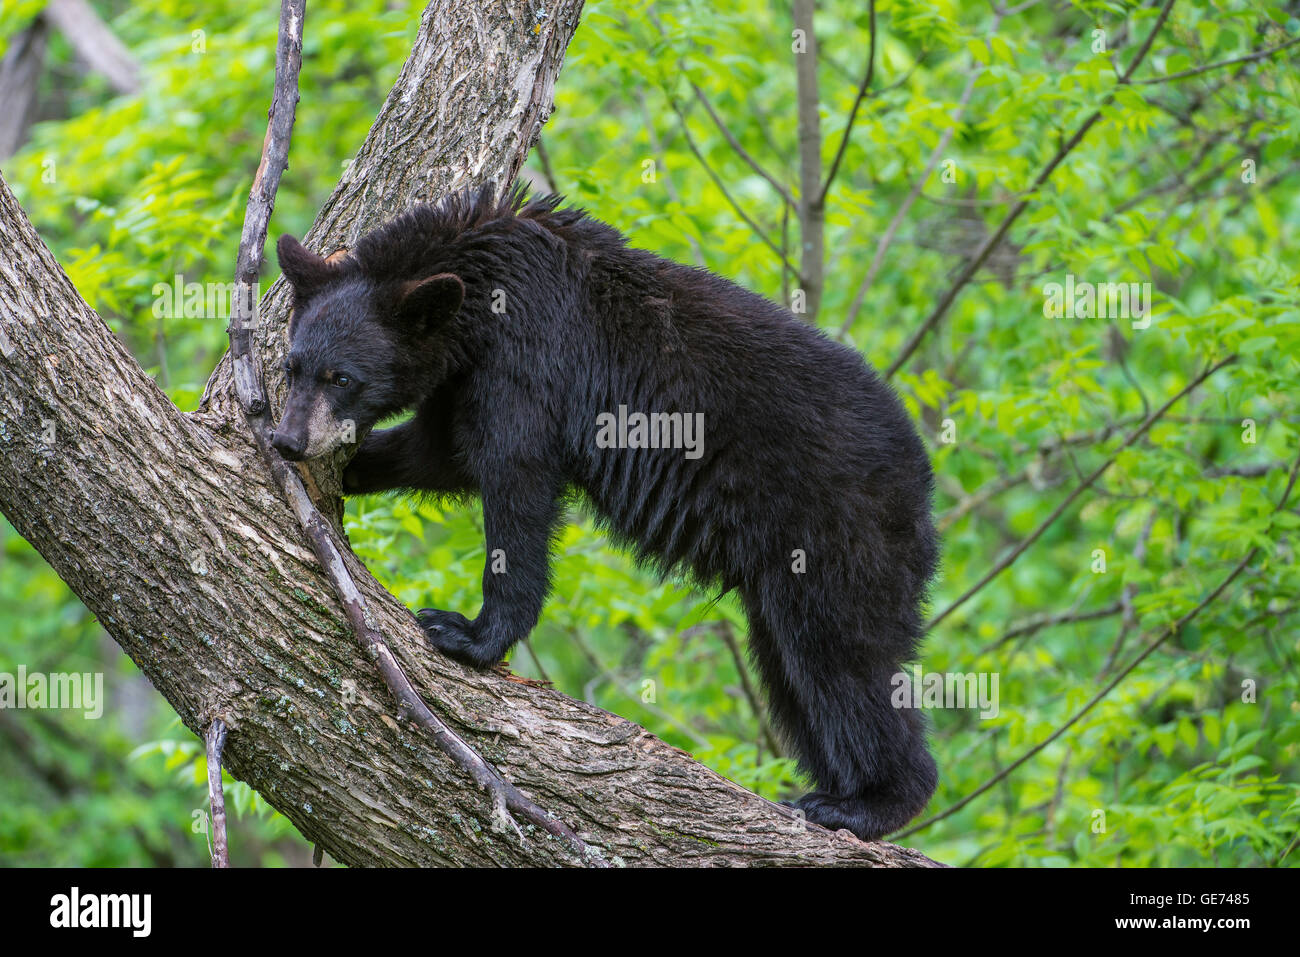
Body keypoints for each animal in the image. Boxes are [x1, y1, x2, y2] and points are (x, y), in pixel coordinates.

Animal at [272, 184, 940, 841]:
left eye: (342, 376)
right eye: (292, 365)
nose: (288, 441)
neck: (484, 288)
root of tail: (921, 479)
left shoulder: (526, 359)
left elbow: (514, 481)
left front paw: (469, 634)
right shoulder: (462, 375)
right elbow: (440, 453)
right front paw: (351, 466)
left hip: (837, 530)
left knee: (839, 658)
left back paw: (866, 804)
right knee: (792, 670)